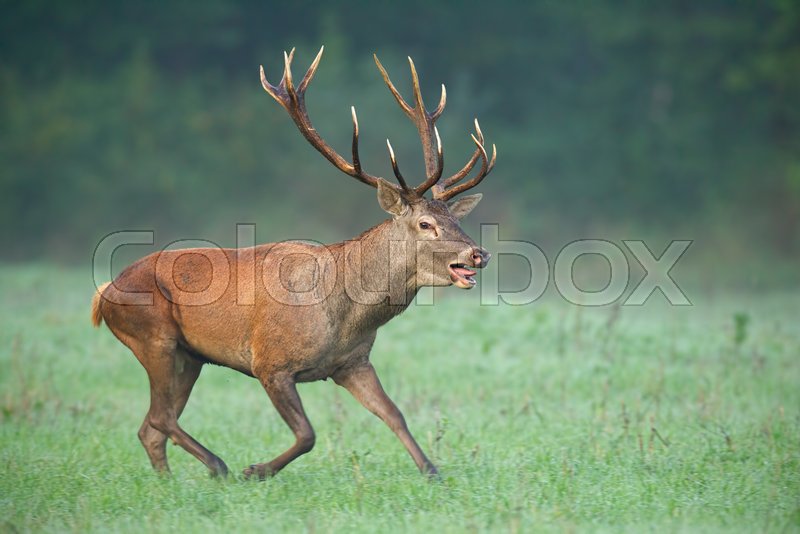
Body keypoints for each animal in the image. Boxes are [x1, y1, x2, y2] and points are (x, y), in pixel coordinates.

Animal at [91, 47, 496, 480]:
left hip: (189, 356)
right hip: (153, 337)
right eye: (425, 224)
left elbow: (394, 415)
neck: (346, 316)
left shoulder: (352, 363)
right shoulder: (270, 362)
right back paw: (219, 465)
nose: (479, 253)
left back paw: (171, 481)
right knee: (160, 417)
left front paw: (432, 472)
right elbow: (308, 434)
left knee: (150, 427)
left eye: (456, 219)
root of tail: (102, 295)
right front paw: (257, 469)